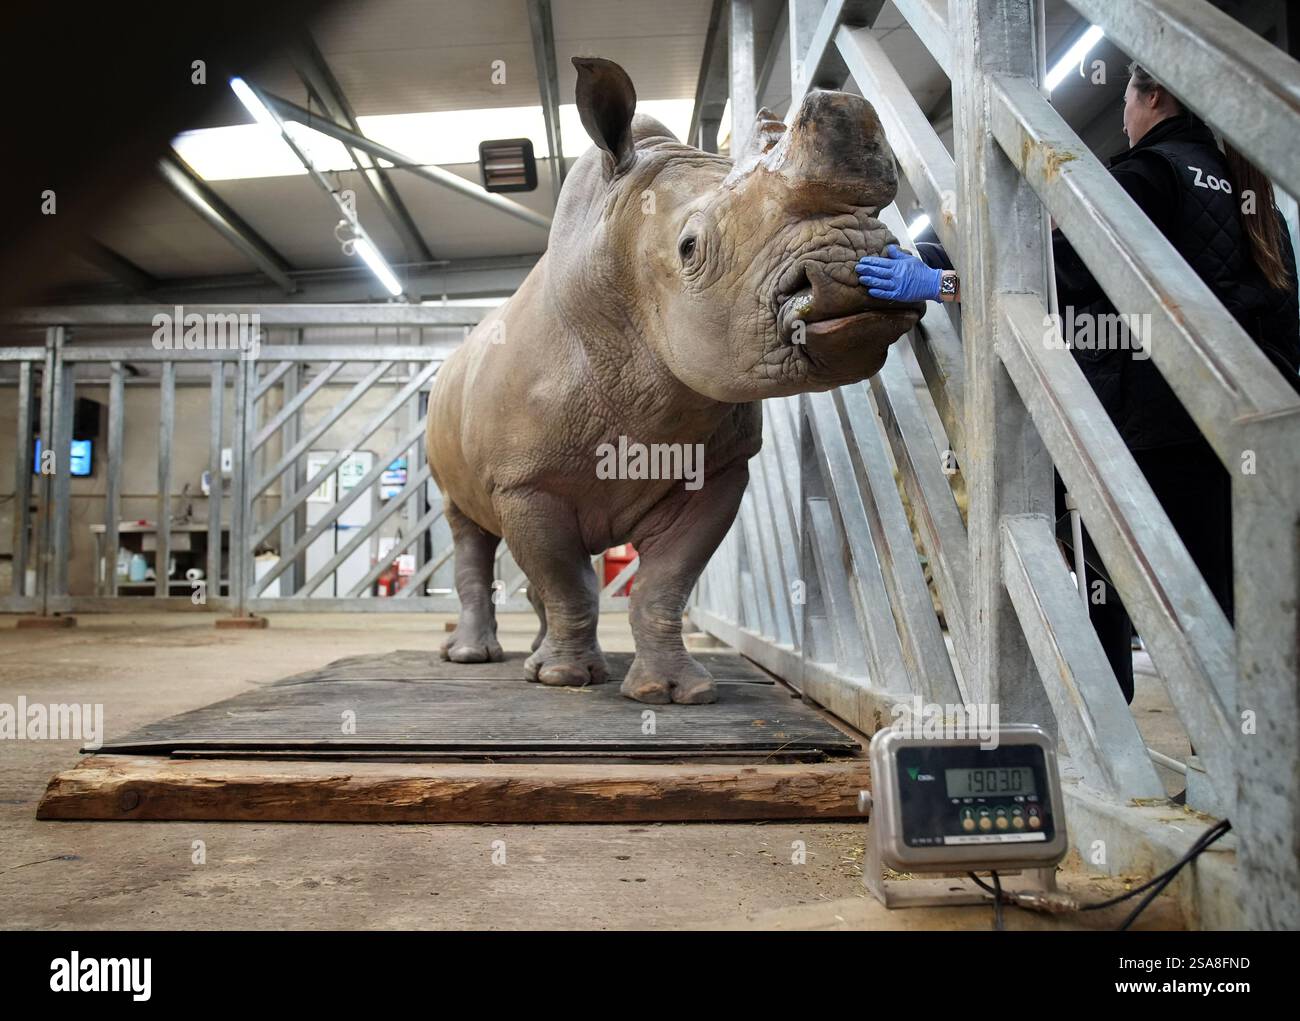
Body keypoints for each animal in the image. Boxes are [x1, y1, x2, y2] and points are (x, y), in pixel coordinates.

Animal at [425, 57, 921, 704]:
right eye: (690, 248)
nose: (856, 274)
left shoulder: (716, 469)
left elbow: (662, 585)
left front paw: (672, 693)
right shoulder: (523, 480)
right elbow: (568, 582)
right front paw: (565, 680)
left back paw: (532, 655)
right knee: (468, 530)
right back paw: (477, 658)